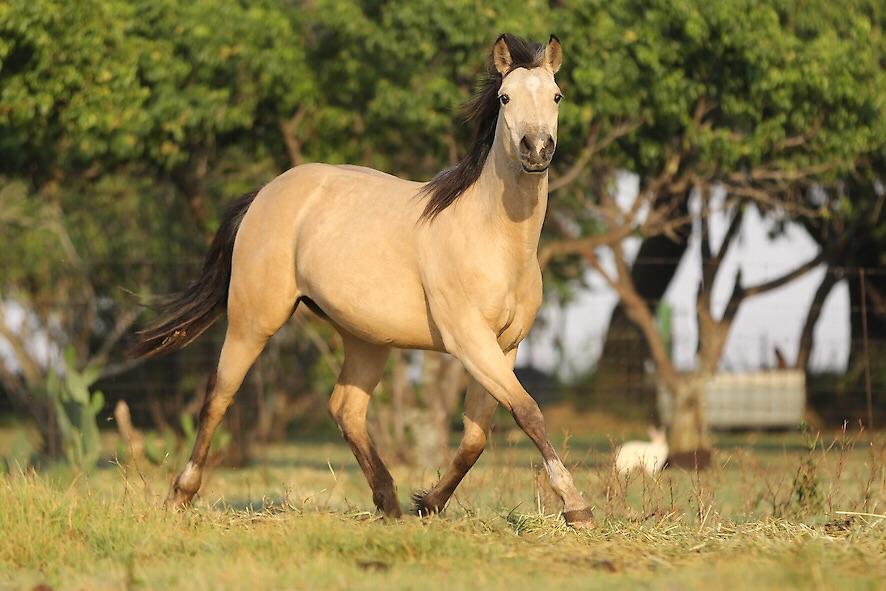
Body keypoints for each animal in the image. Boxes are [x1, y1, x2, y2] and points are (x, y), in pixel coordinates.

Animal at [131, 33, 594, 527]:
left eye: (557, 96)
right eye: (505, 97)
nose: (536, 149)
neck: (493, 238)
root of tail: (267, 192)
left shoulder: (505, 346)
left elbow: (477, 436)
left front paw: (427, 502)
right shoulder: (470, 340)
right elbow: (527, 412)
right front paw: (576, 506)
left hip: (365, 339)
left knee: (345, 409)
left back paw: (390, 503)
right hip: (253, 320)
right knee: (219, 395)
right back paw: (180, 494)